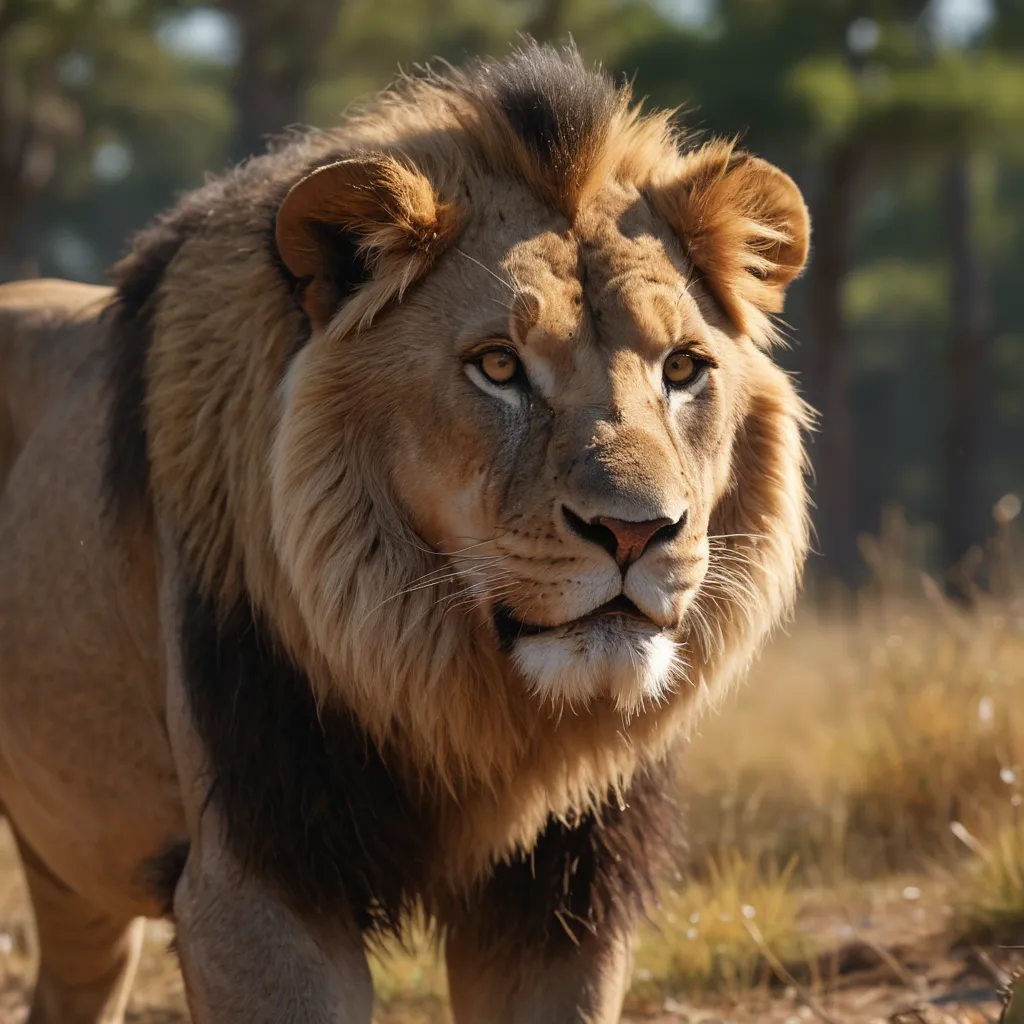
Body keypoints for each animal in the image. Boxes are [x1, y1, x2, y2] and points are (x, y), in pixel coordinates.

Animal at [0, 43, 810, 1024]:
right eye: (498, 366)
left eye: (684, 368)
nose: (635, 532)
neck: (461, 702)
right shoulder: (259, 875)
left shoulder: (562, 889)